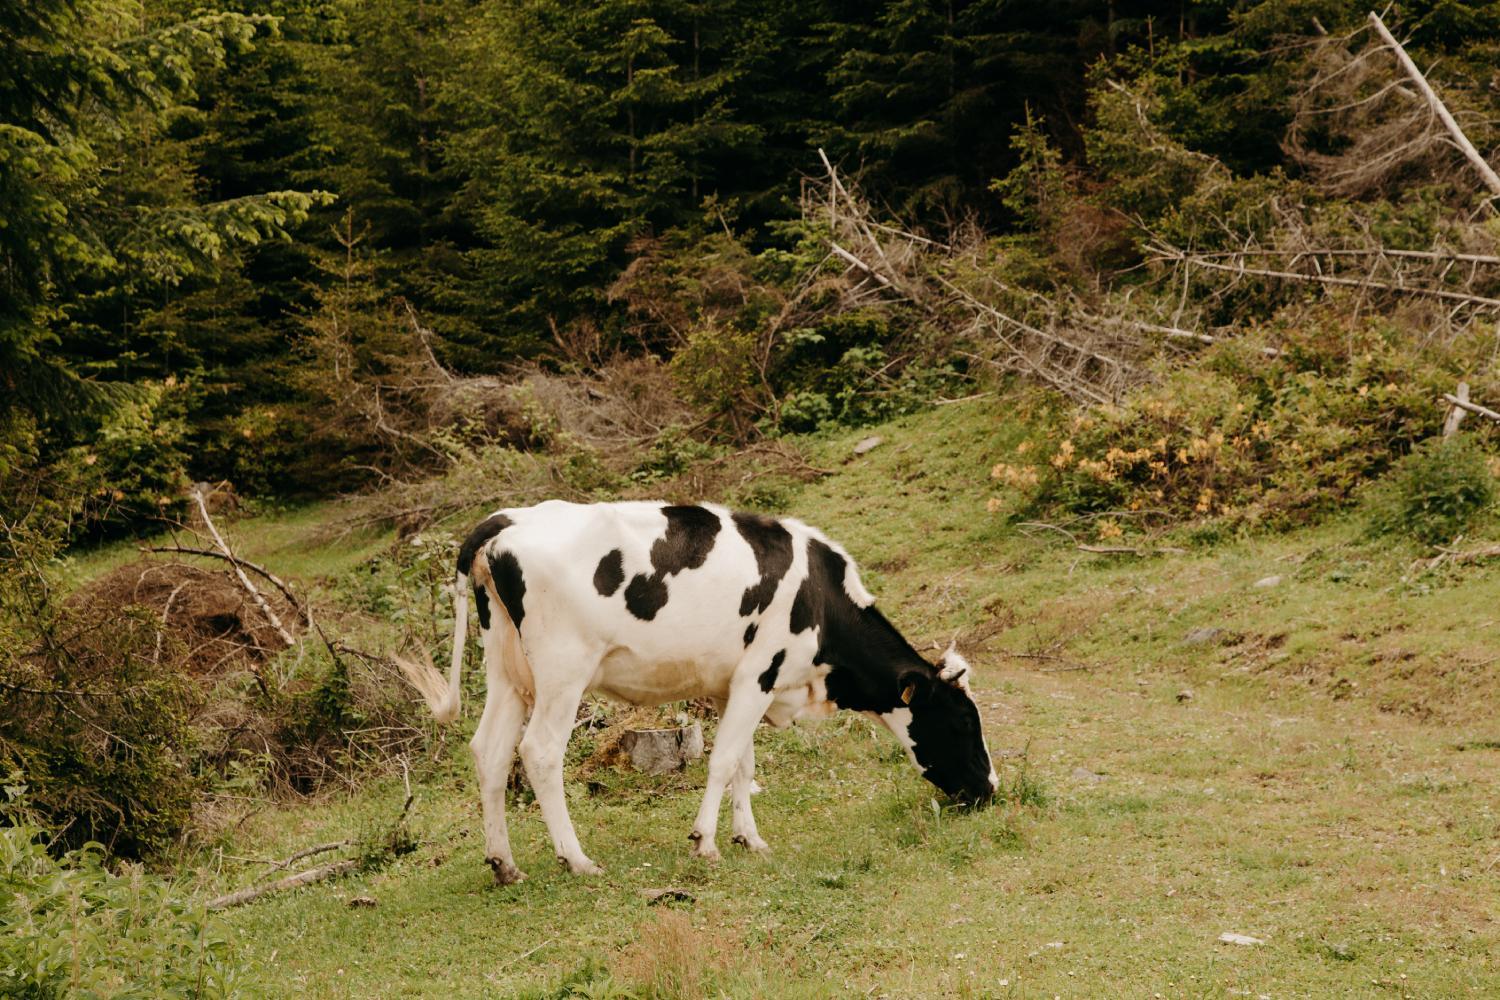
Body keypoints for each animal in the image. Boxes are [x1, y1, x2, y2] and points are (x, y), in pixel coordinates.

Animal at [397, 500, 997, 885]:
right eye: (965, 722)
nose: (990, 788)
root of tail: (506, 521)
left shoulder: (738, 683)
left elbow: (743, 764)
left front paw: (749, 838)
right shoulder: (760, 672)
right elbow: (724, 760)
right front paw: (705, 842)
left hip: (507, 670)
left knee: (490, 752)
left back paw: (504, 864)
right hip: (562, 671)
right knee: (539, 752)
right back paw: (577, 859)